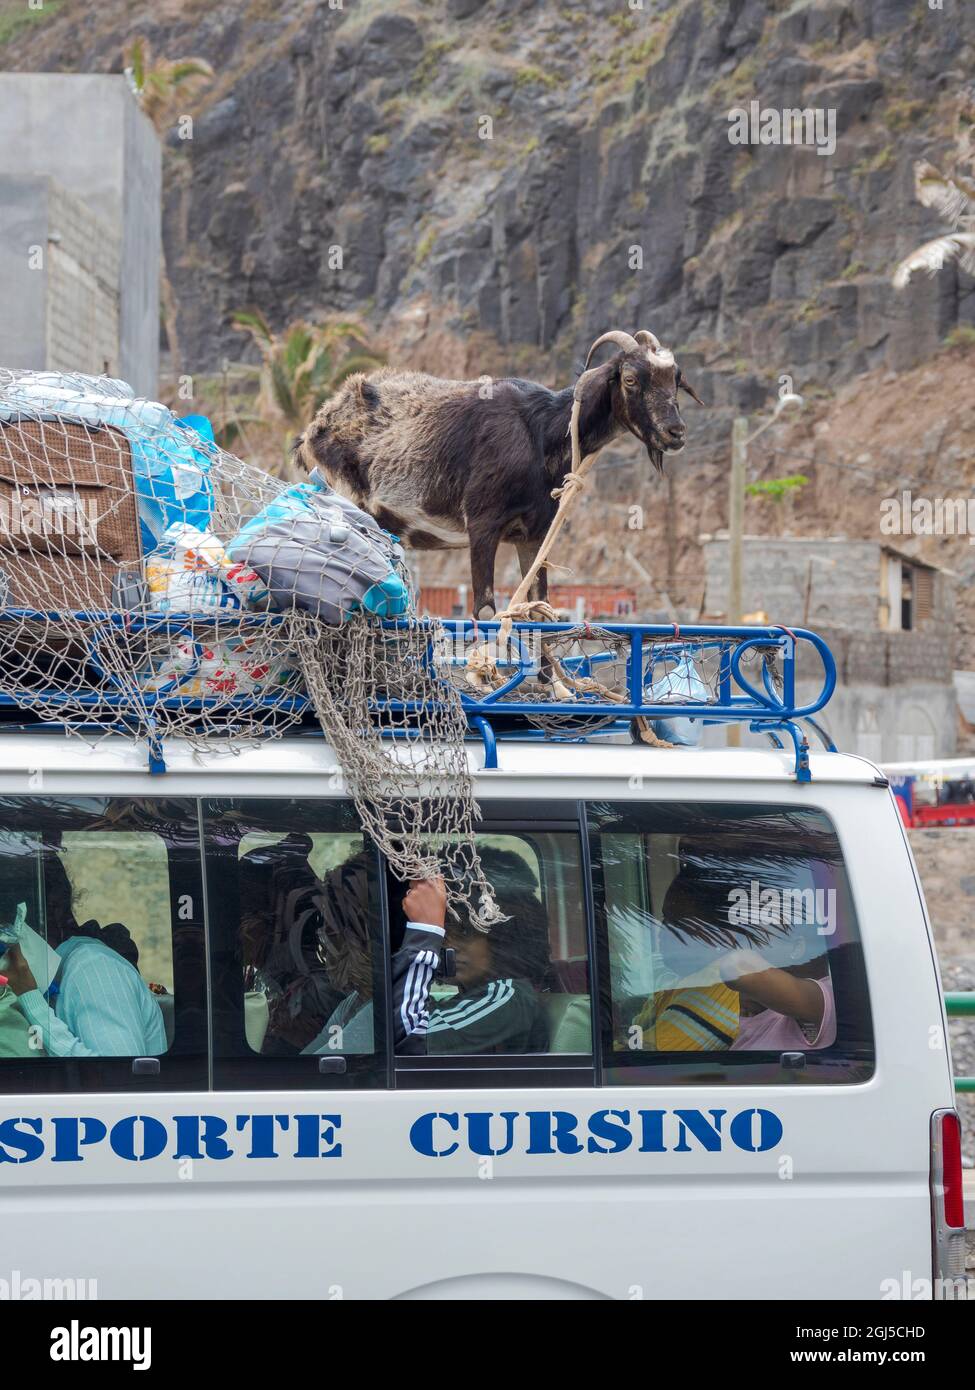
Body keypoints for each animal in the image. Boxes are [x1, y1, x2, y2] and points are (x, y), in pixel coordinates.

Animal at [294, 328, 703, 619]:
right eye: (631, 378)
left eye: (675, 378)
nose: (676, 432)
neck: (543, 431)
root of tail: (317, 424)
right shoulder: (482, 524)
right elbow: (486, 609)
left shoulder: (534, 535)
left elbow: (540, 608)